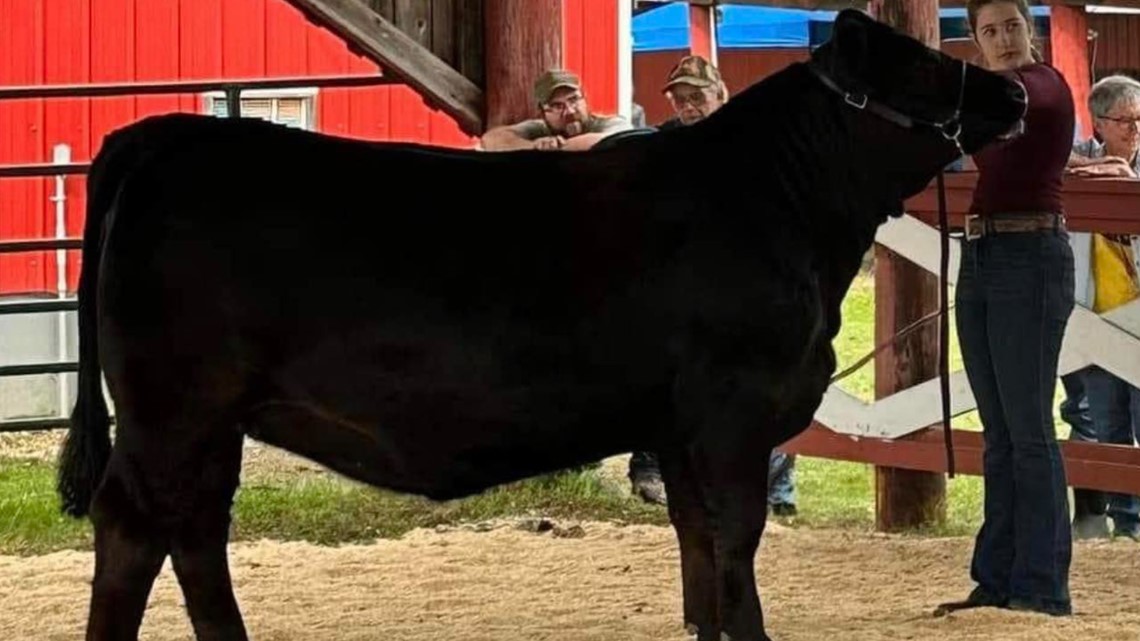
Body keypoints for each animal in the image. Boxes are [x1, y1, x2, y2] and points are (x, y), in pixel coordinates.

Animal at [55, 9, 1026, 641]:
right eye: (918, 60)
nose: (1015, 89)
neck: (776, 199)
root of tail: (165, 134)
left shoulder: (677, 429)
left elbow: (698, 550)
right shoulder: (733, 416)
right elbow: (735, 548)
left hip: (210, 420)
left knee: (195, 531)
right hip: (172, 411)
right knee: (135, 528)